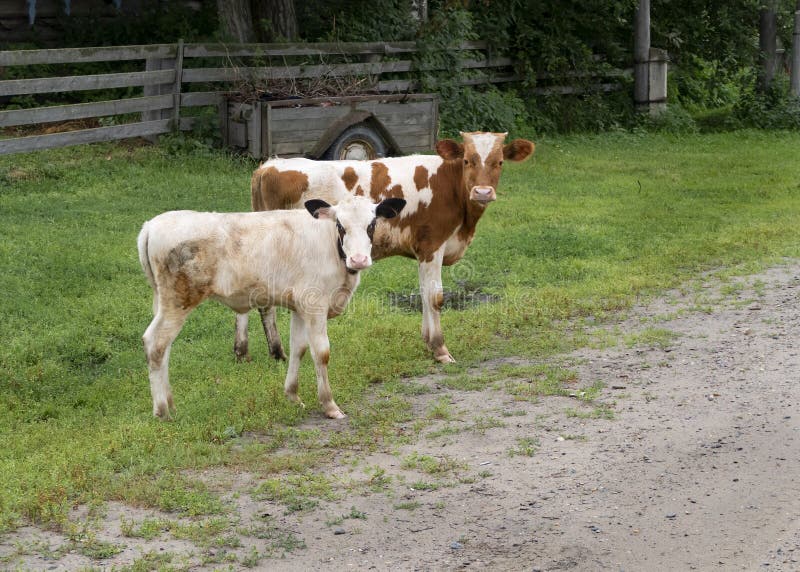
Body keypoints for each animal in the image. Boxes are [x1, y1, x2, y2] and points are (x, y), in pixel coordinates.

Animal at [138, 195, 407, 420]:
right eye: (341, 225)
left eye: (372, 224)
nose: (359, 259)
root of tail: (152, 224)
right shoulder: (315, 305)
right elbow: (321, 352)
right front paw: (329, 405)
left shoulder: (299, 306)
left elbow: (298, 348)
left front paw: (293, 396)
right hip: (177, 302)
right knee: (156, 343)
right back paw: (162, 410)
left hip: (163, 303)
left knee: (163, 348)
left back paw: (170, 403)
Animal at [235, 131, 535, 364]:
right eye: (467, 160)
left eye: (499, 162)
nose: (482, 192)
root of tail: (269, 166)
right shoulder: (432, 245)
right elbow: (435, 297)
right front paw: (440, 349)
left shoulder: (422, 250)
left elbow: (424, 295)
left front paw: (428, 342)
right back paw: (275, 351)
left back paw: (244, 352)